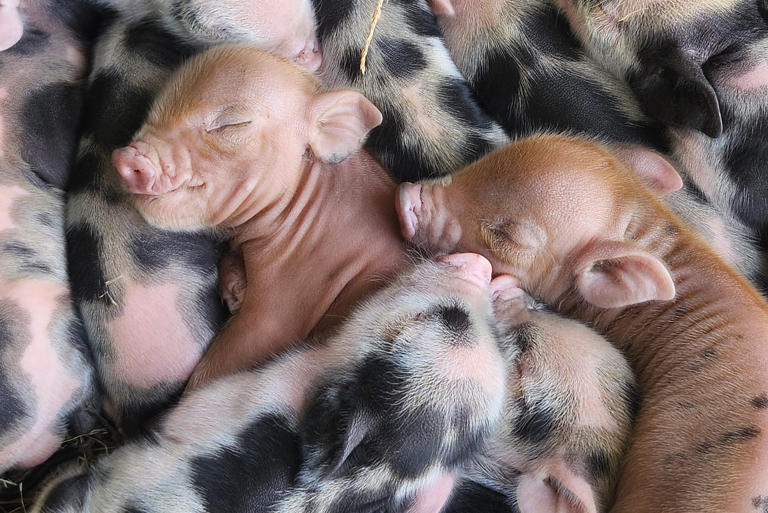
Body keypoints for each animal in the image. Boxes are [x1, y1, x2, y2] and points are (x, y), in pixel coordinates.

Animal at [68, 0, 506, 427]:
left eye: (230, 123)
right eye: (152, 113)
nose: (127, 158)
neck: (303, 208)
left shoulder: (288, 299)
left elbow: (225, 360)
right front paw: (233, 289)